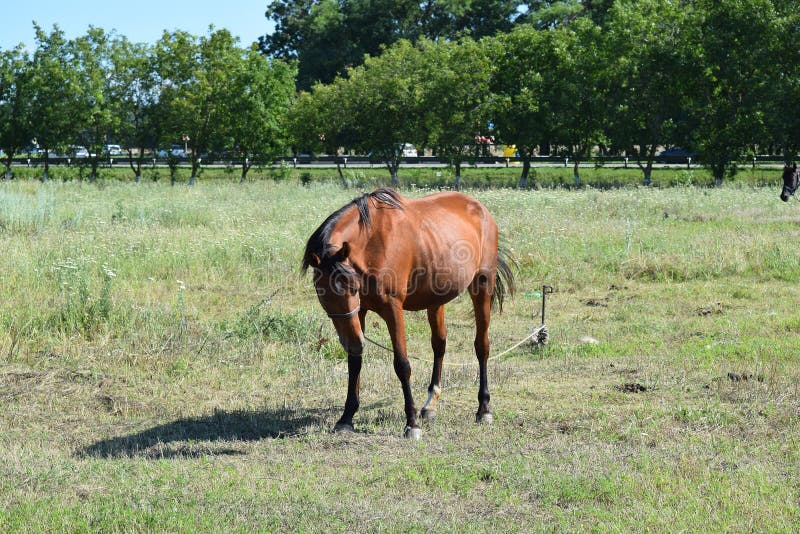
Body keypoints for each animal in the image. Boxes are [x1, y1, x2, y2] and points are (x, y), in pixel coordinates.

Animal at [302, 188, 514, 439]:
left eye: (352, 288)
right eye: (322, 293)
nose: (354, 342)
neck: (371, 243)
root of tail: (480, 208)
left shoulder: (392, 309)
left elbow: (402, 365)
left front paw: (411, 423)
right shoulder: (359, 313)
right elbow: (354, 364)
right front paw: (346, 417)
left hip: (482, 286)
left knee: (482, 347)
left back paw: (484, 409)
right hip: (436, 299)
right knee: (439, 345)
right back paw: (431, 404)